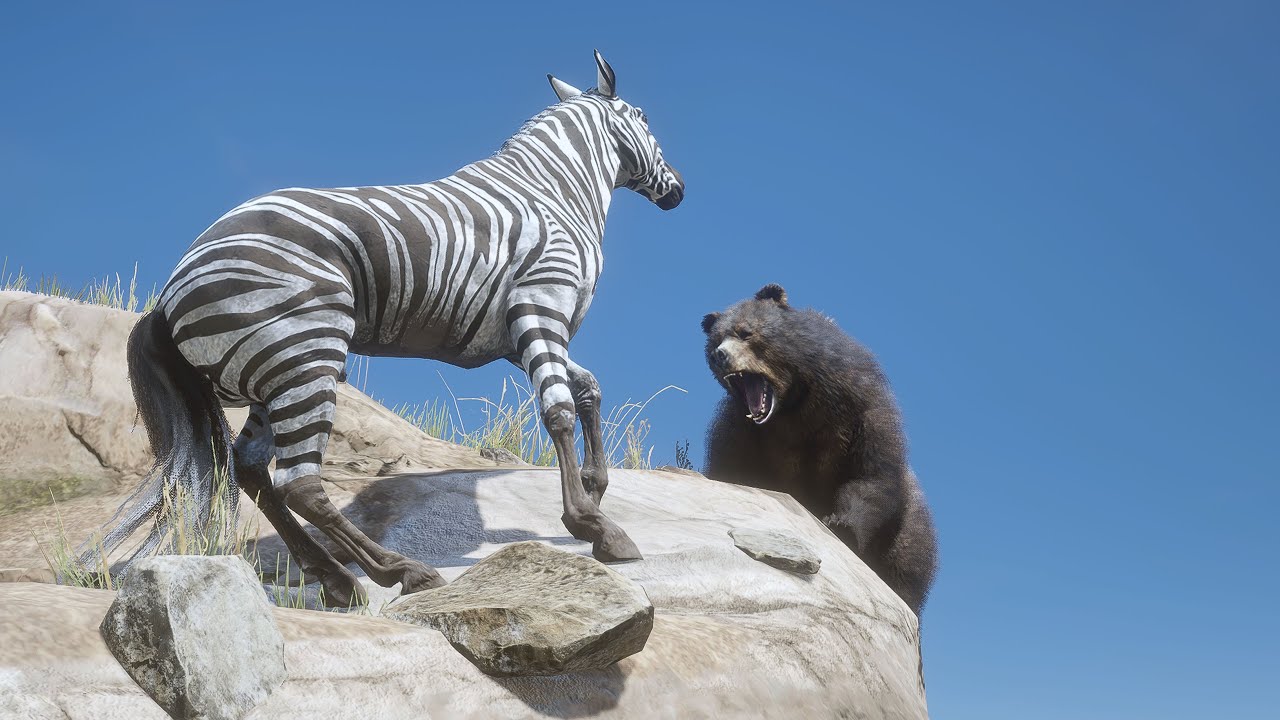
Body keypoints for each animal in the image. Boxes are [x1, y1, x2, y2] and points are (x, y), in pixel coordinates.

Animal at [84, 51, 683, 607]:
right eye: (644, 117)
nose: (678, 190)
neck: (552, 192)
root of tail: (168, 294)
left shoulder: (510, 335)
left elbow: (589, 389)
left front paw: (596, 489)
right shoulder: (541, 305)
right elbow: (558, 410)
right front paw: (591, 523)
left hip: (270, 371)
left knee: (253, 471)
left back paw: (338, 581)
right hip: (306, 353)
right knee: (301, 485)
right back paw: (400, 572)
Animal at [701, 283, 938, 616]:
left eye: (745, 332)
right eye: (714, 343)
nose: (721, 356)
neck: (797, 403)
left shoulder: (861, 410)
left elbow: (870, 475)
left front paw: (841, 523)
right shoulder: (743, 430)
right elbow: (731, 469)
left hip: (910, 529)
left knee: (905, 568)